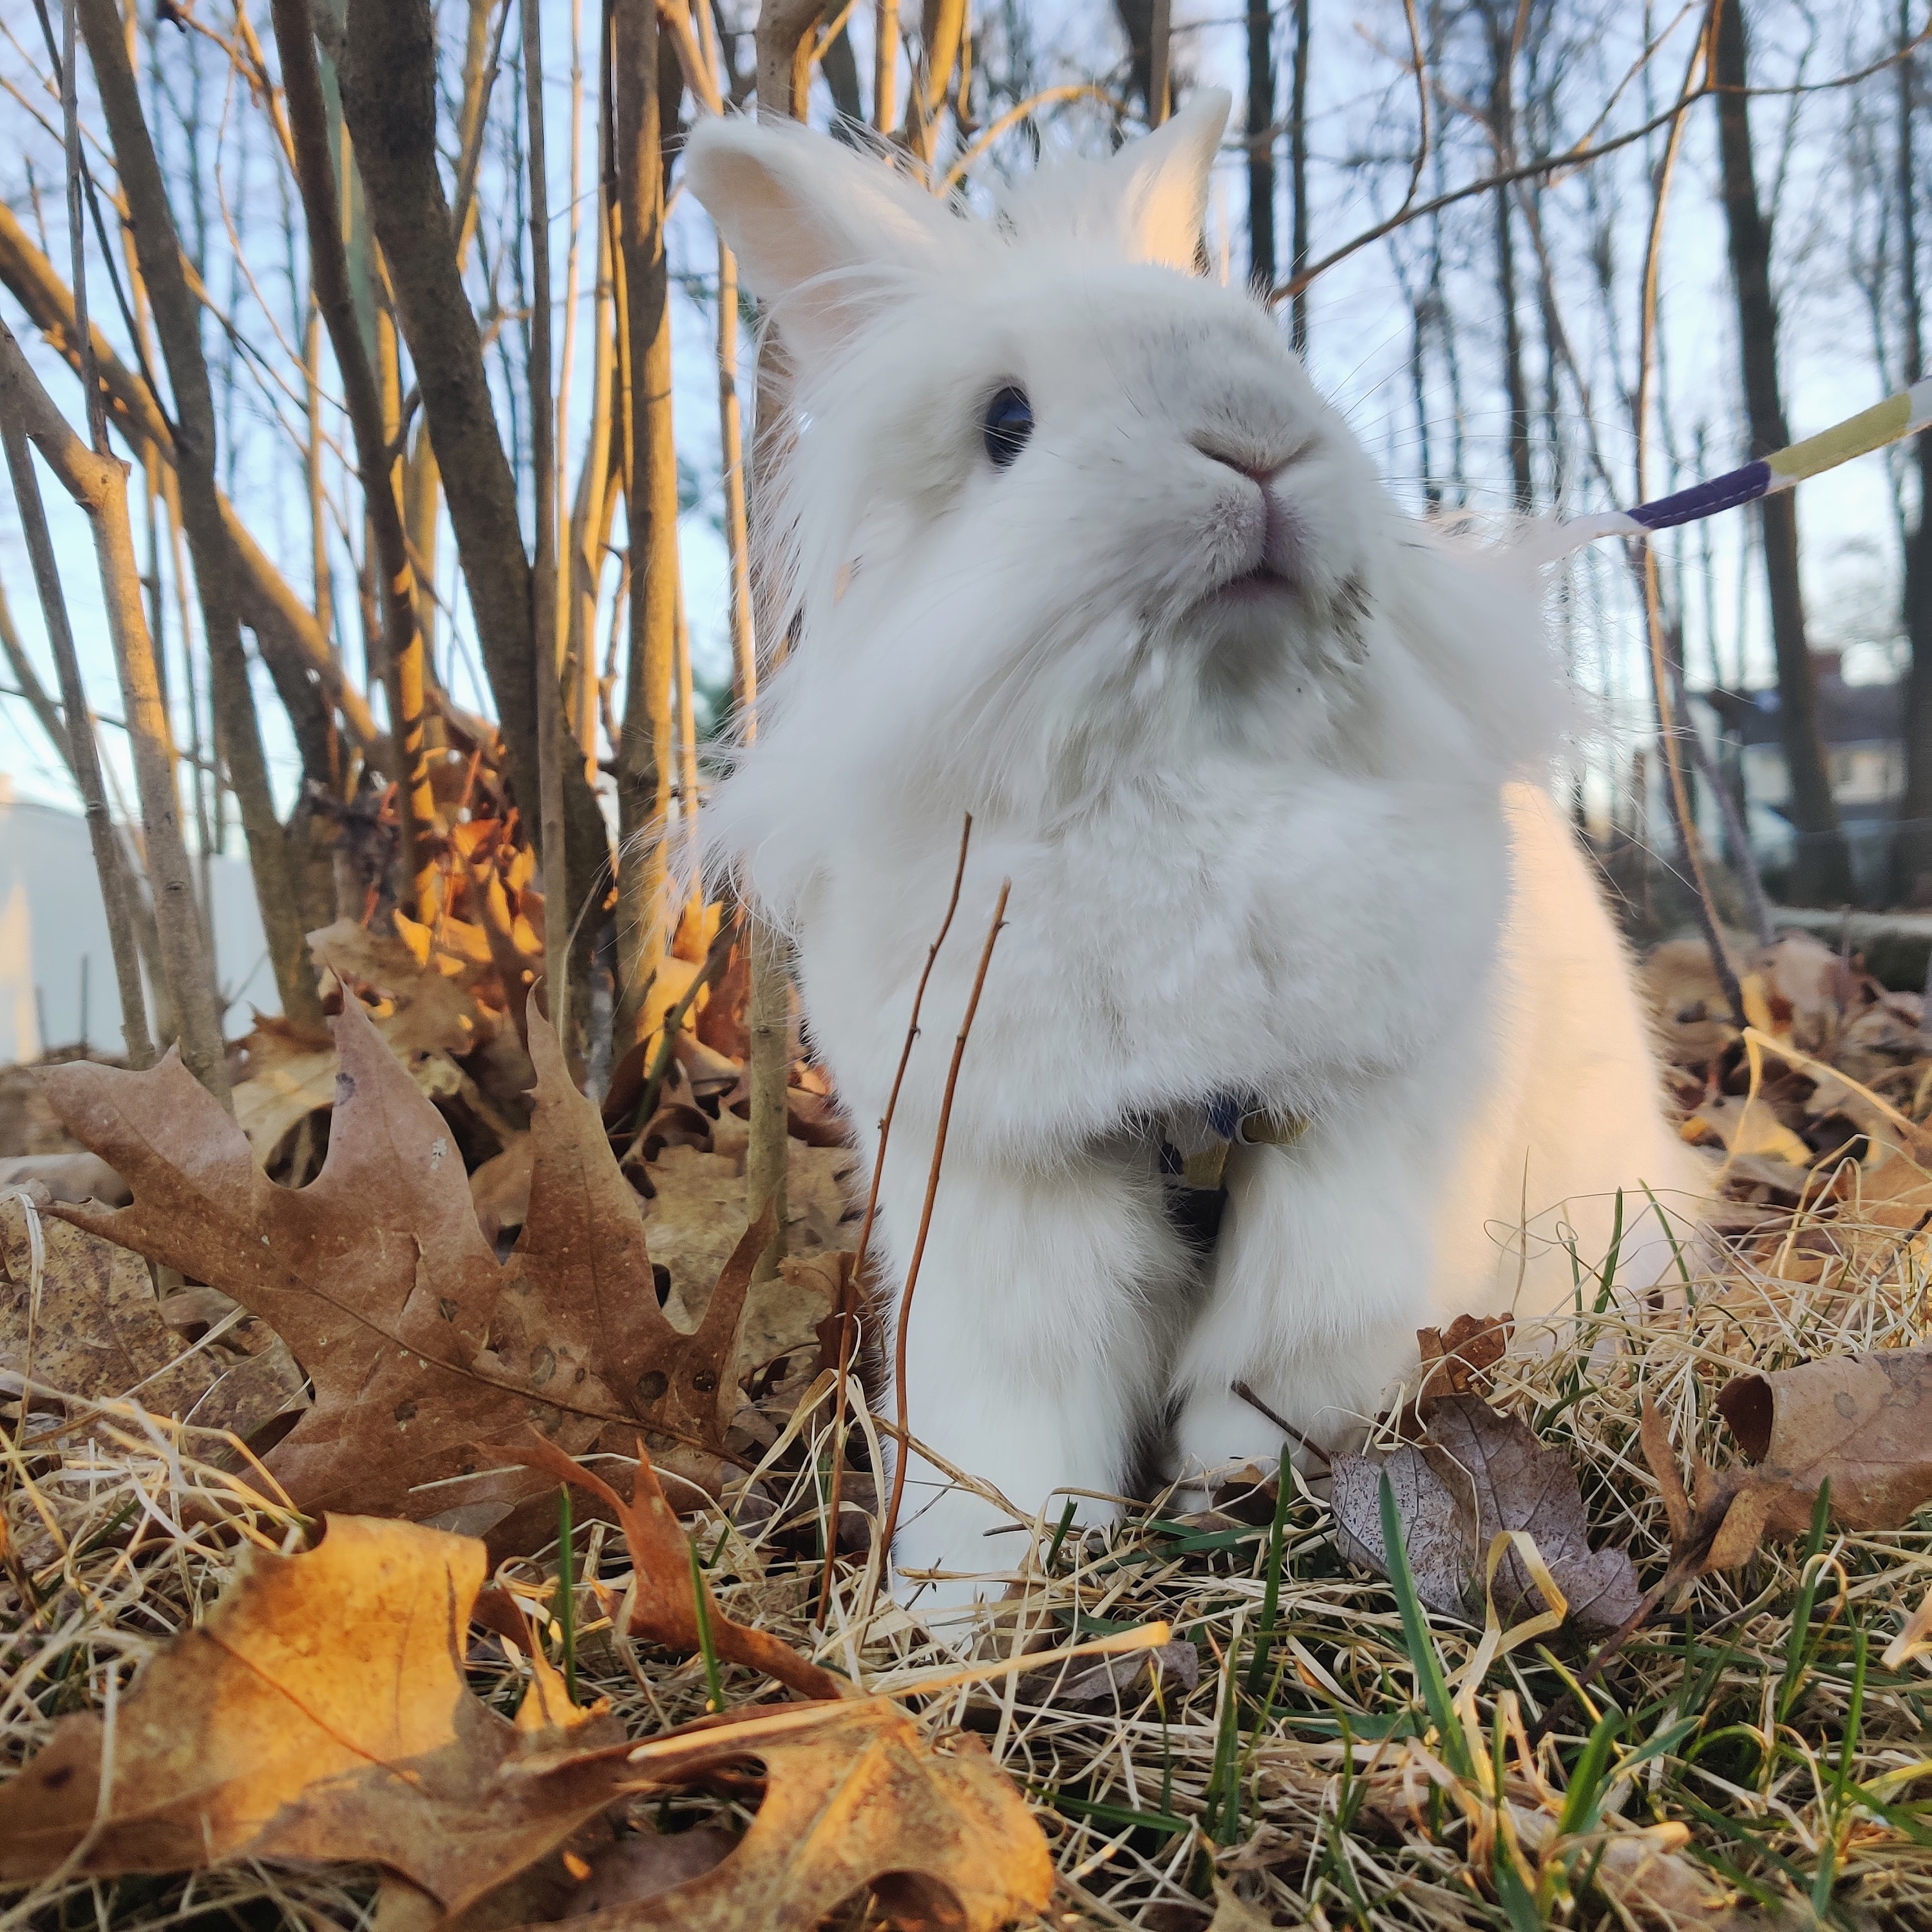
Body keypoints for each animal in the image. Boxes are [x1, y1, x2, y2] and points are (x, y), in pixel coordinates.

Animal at [683, 90, 1707, 1613]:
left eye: (1278, 356)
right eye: (1006, 423)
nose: (1258, 441)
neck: (1188, 780)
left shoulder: (1348, 1184)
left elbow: (1274, 1367)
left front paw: (1253, 1500)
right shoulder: (994, 1198)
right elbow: (1013, 1408)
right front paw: (973, 1595)